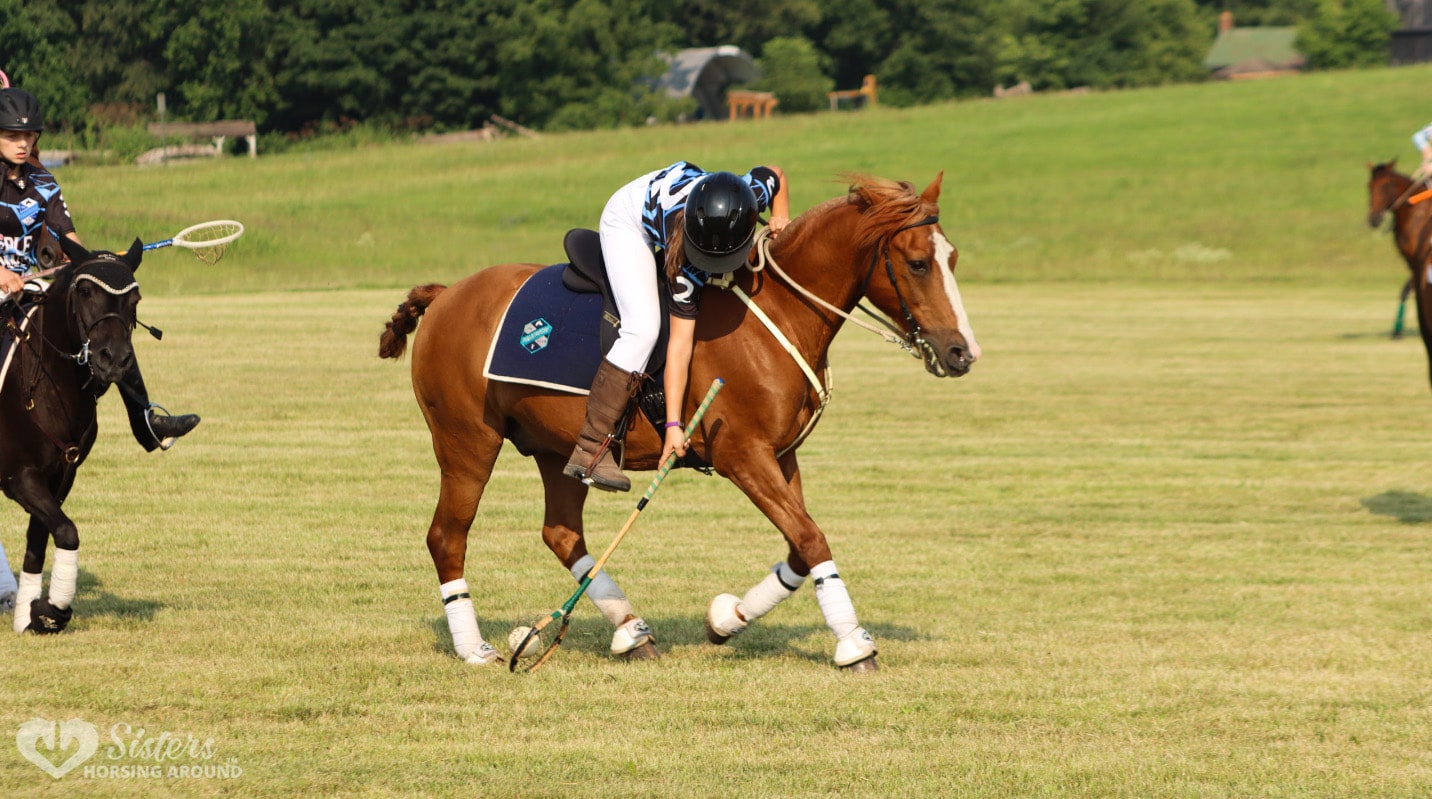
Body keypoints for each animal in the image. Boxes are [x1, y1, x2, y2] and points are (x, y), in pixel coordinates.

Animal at [0, 237, 145, 633]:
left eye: (135, 297)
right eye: (84, 291)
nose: (115, 359)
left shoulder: (60, 476)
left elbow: (40, 539)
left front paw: (31, 613)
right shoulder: (18, 476)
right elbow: (67, 531)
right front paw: (51, 609)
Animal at [379, 173, 980, 671]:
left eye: (952, 258)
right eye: (918, 263)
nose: (961, 353)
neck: (778, 314)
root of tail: (446, 294)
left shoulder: (782, 456)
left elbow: (799, 544)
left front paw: (727, 619)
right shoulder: (743, 454)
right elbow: (811, 539)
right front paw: (855, 645)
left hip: (557, 448)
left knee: (561, 532)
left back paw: (630, 631)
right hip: (466, 439)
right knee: (447, 536)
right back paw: (474, 648)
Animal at [1367, 160, 1432, 343]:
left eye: (1385, 185)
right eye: (1369, 186)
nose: (1374, 220)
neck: (1414, 212)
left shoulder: (1416, 262)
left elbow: (1406, 290)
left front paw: (1397, 331)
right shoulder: (1413, 262)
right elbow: (1406, 291)